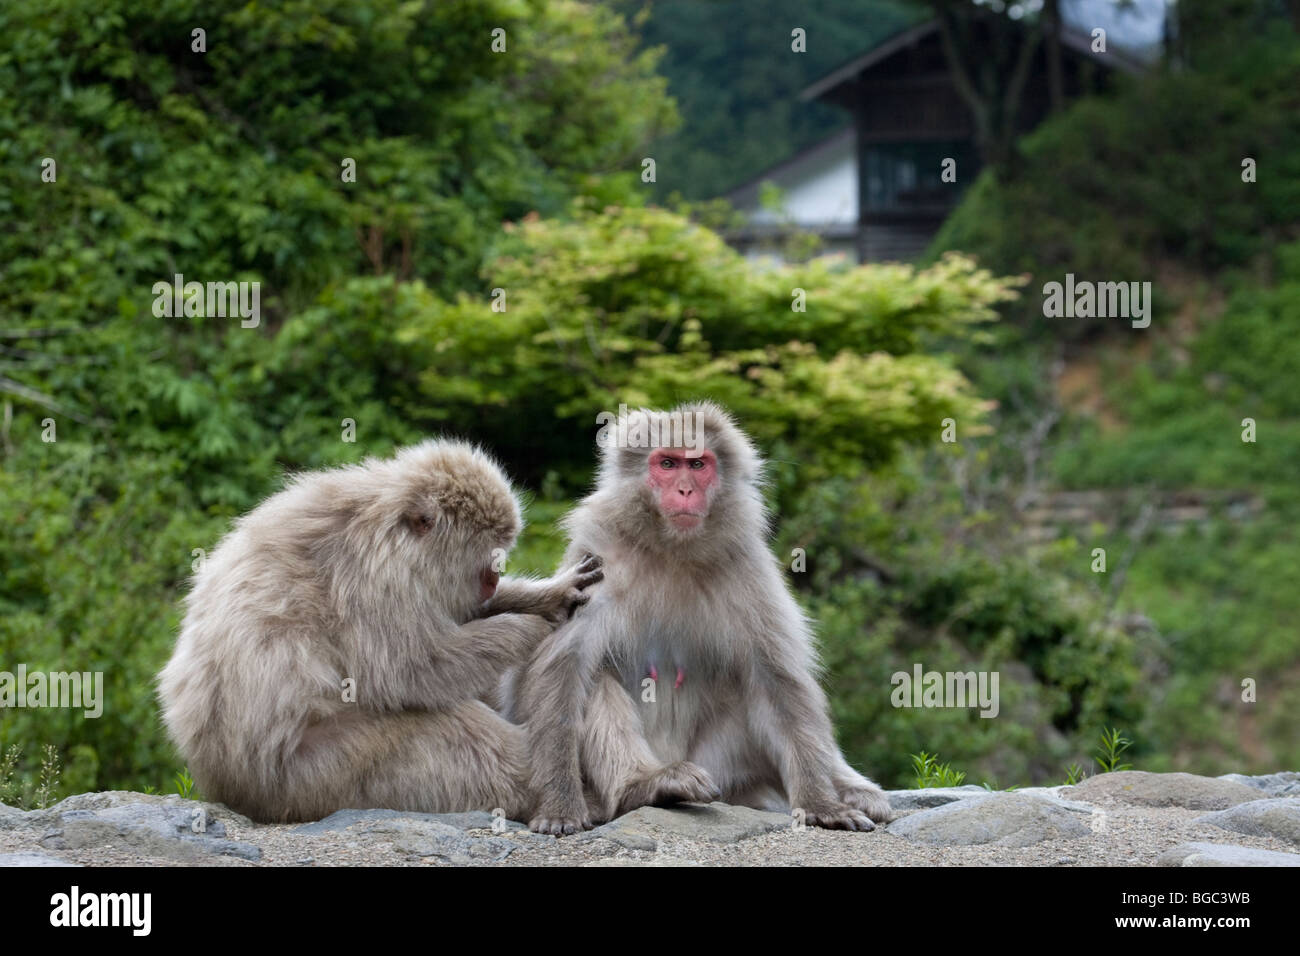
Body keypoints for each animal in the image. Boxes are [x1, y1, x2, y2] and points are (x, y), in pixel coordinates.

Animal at [157, 439, 602, 824]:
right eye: (489, 553)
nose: (494, 578)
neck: (388, 522)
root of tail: (223, 785)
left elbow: (453, 616)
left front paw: (552, 596)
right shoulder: (374, 577)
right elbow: (411, 669)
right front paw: (535, 625)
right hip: (315, 775)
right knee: (442, 728)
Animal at [507, 401, 892, 835]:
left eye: (698, 464)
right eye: (667, 463)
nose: (685, 490)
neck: (672, 550)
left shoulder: (747, 568)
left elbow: (777, 680)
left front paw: (821, 802)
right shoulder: (597, 559)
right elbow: (563, 669)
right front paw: (560, 804)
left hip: (724, 766)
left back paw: (849, 786)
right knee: (596, 674)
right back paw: (648, 785)